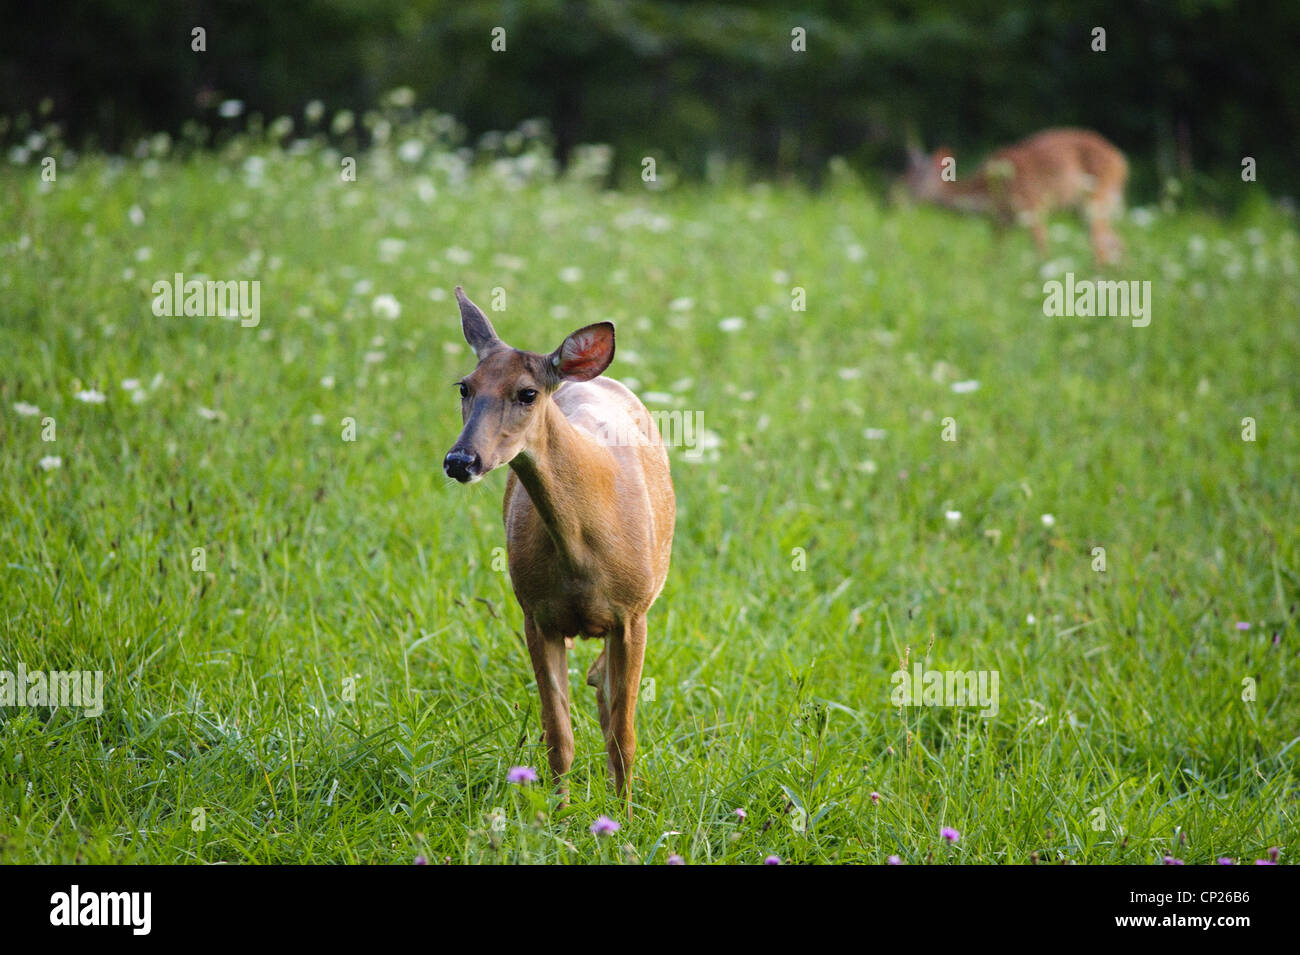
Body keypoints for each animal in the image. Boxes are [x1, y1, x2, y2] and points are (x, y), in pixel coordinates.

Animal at [443, 287, 675, 805]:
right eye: (464, 386)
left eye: (527, 393)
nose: (461, 460)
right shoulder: (535, 612)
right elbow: (558, 735)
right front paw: (557, 813)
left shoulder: (633, 614)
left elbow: (624, 736)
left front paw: (625, 814)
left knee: (608, 699)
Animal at [904, 128, 1128, 265]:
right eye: (907, 173)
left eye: (917, 179)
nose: (899, 196)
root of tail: (1121, 161)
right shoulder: (1001, 221)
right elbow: (996, 255)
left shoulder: (1032, 207)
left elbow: (1042, 249)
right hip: (1083, 209)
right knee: (1116, 241)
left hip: (1097, 199)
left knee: (1101, 247)